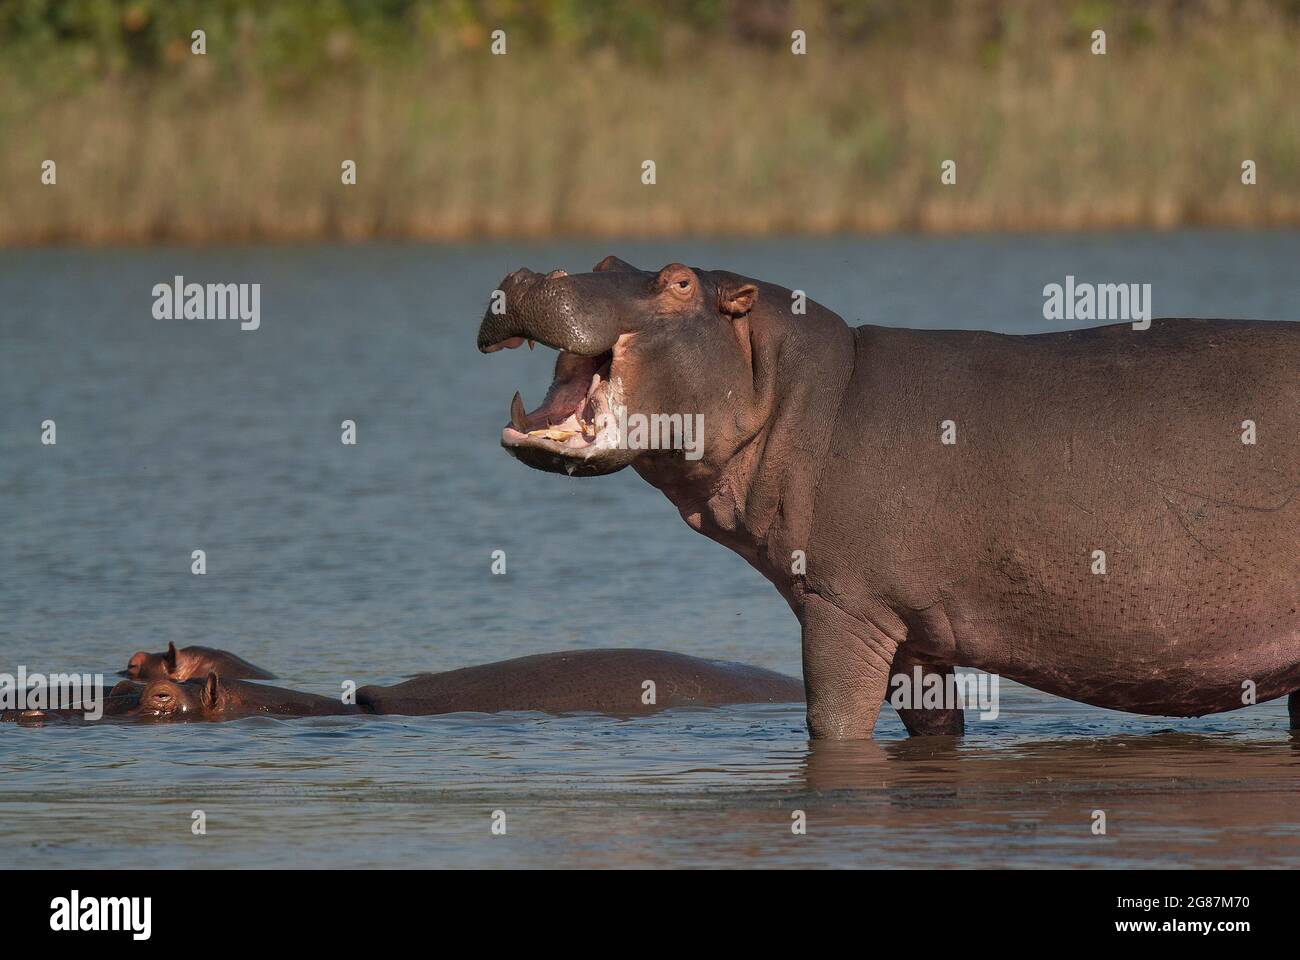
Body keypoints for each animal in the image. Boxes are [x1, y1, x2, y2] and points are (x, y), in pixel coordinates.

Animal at [477, 256, 1300, 739]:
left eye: (680, 282)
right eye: (605, 262)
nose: (529, 273)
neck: (799, 388)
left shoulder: (845, 605)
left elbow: (832, 721)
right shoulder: (911, 629)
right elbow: (934, 724)